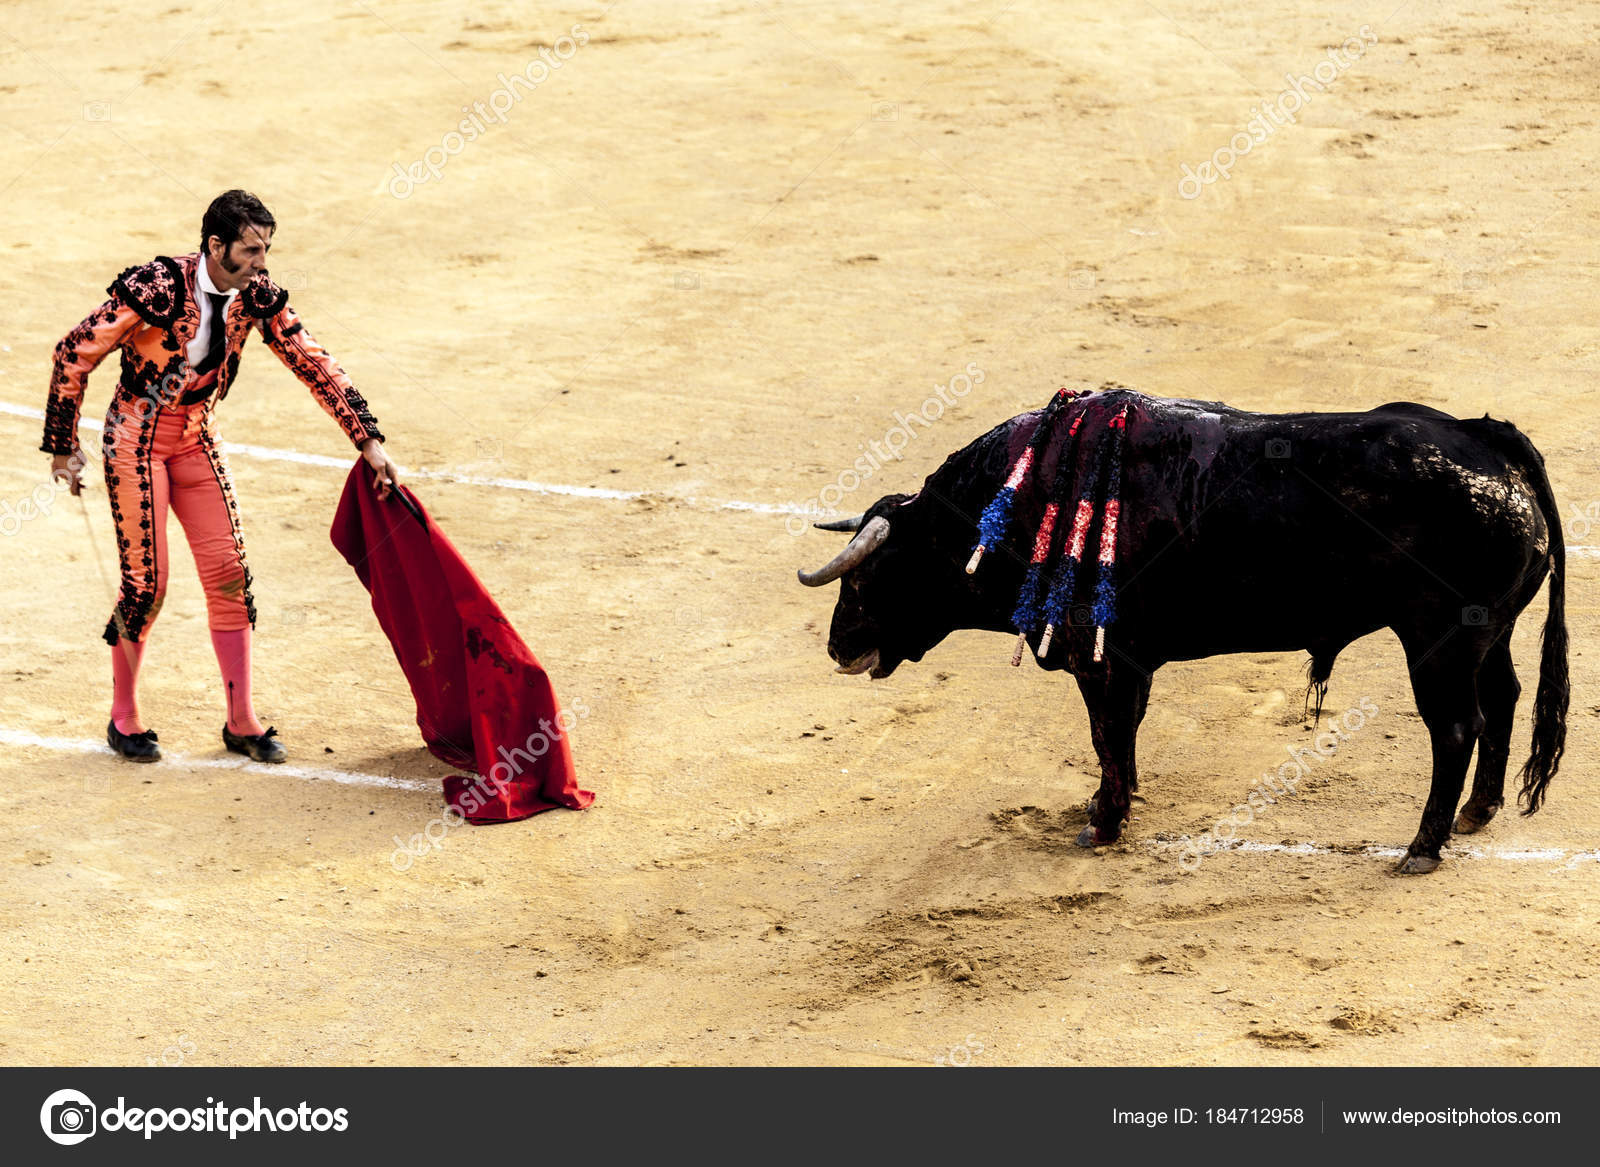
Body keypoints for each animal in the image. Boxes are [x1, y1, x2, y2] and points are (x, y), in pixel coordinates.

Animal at [797, 389, 1567, 873]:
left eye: (867, 577)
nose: (838, 646)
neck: (1031, 497)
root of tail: (1488, 437)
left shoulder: (1100, 660)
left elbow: (1106, 733)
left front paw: (1102, 824)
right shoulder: (1129, 661)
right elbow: (1123, 734)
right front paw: (1113, 804)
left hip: (1437, 642)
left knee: (1457, 726)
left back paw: (1422, 847)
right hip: (1487, 634)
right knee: (1503, 700)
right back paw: (1477, 812)